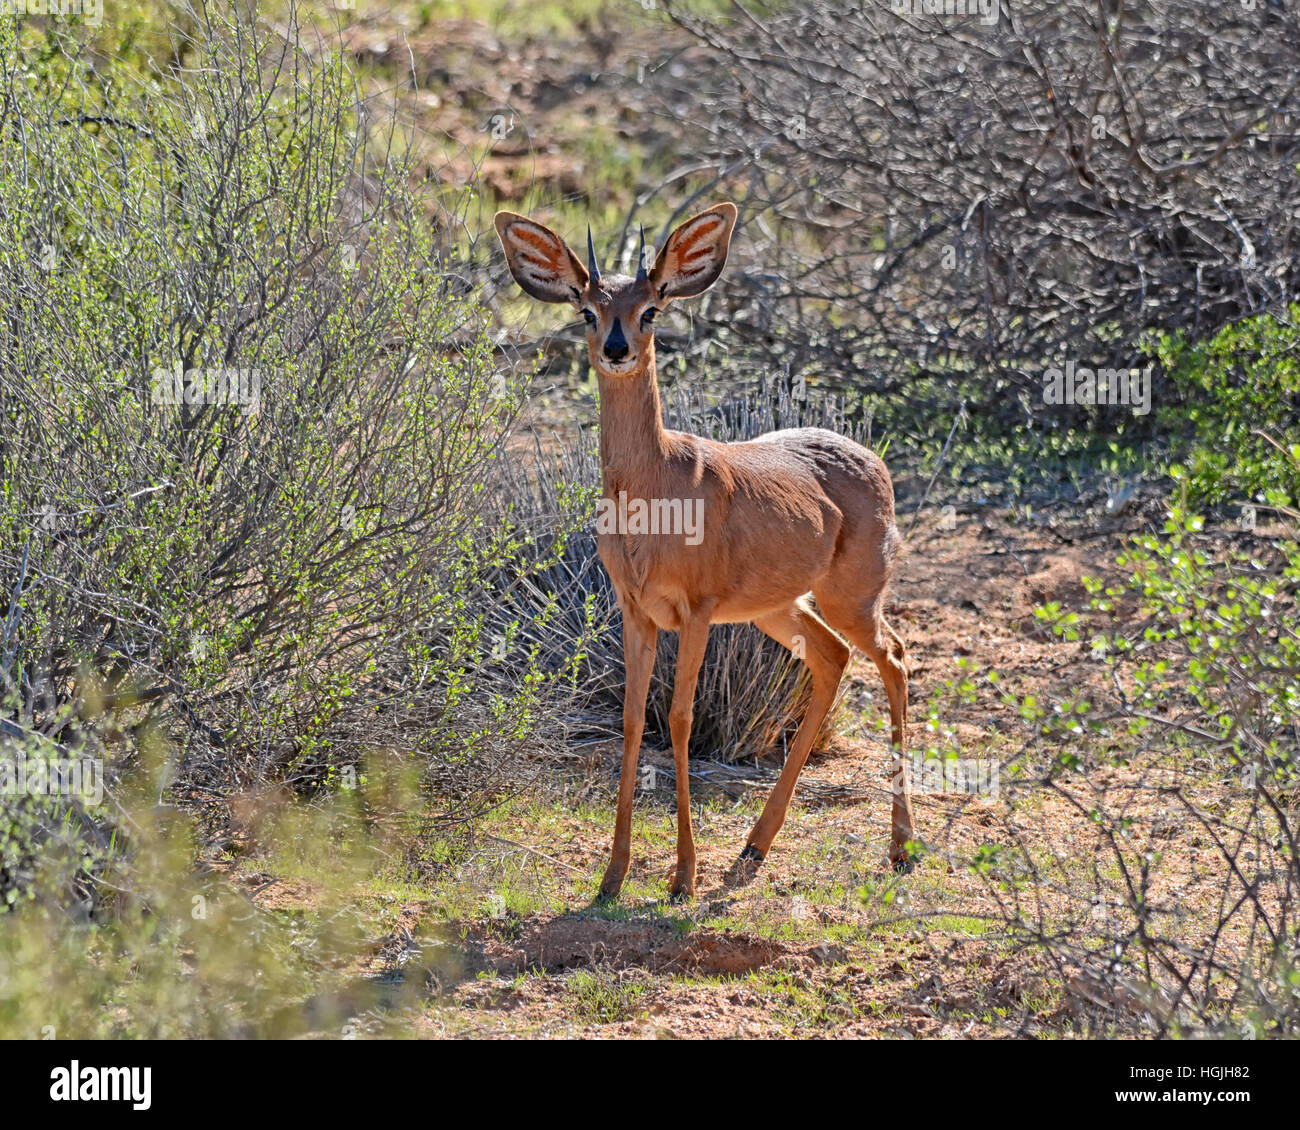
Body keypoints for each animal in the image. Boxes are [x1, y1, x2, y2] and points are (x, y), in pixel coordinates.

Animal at [495, 203, 915, 901]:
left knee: (895, 659)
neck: (654, 491)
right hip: (777, 609)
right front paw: (613, 875)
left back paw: (902, 847)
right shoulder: (636, 612)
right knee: (831, 658)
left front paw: (683, 876)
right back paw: (751, 850)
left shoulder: (695, 613)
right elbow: (635, 720)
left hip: (852, 597)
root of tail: (871, 459)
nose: (617, 349)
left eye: (650, 308)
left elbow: (683, 718)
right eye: (587, 310)